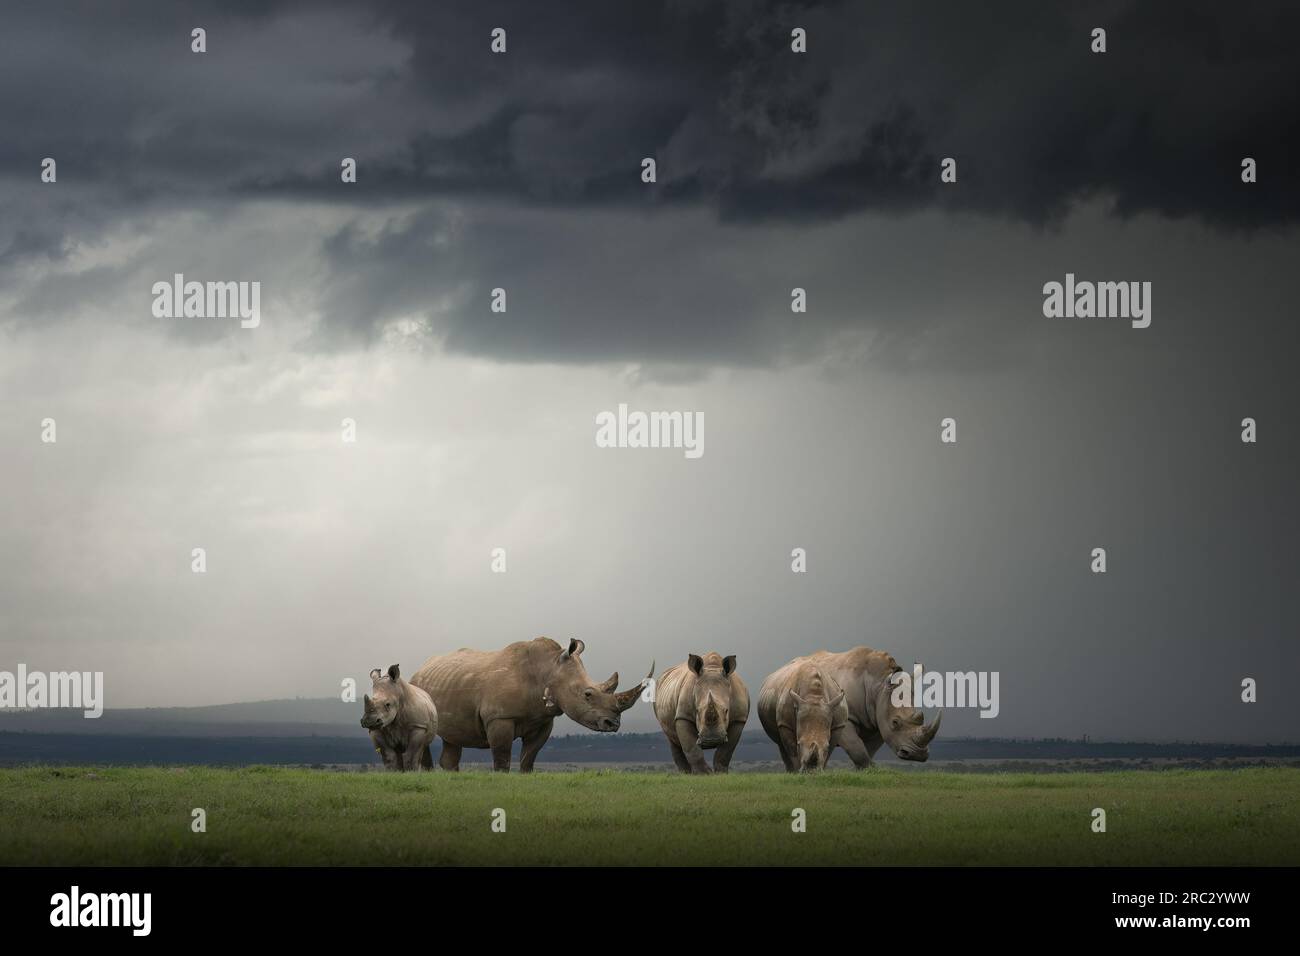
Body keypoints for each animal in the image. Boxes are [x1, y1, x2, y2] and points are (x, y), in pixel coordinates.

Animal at [411, 637, 651, 773]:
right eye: (588, 694)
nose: (613, 724)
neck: (549, 669)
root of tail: (421, 668)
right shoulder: (499, 717)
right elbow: (502, 757)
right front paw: (501, 778)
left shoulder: (544, 720)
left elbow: (529, 757)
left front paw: (525, 774)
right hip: (417, 688)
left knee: (453, 738)